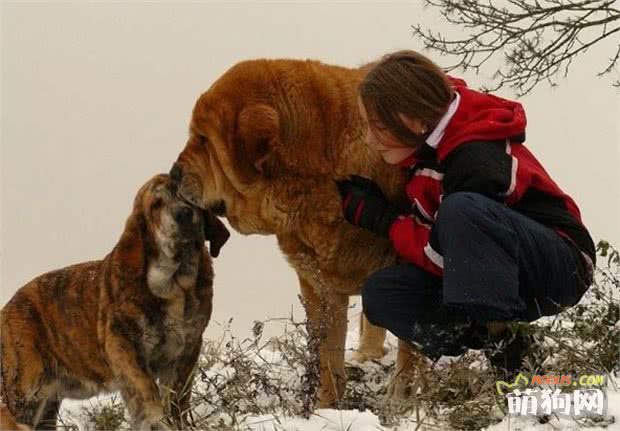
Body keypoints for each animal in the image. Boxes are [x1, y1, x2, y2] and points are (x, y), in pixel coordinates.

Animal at [0, 176, 230, 431]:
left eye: (188, 197)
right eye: (156, 204)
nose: (183, 213)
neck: (176, 288)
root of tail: (6, 310)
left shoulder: (186, 351)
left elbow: (176, 399)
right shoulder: (124, 347)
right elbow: (146, 391)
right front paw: (157, 421)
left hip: (46, 406)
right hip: (23, 393)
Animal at [170, 59, 422, 406]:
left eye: (203, 140)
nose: (173, 174)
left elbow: (409, 347)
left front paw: (401, 399)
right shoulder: (319, 287)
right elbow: (327, 357)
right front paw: (326, 407)